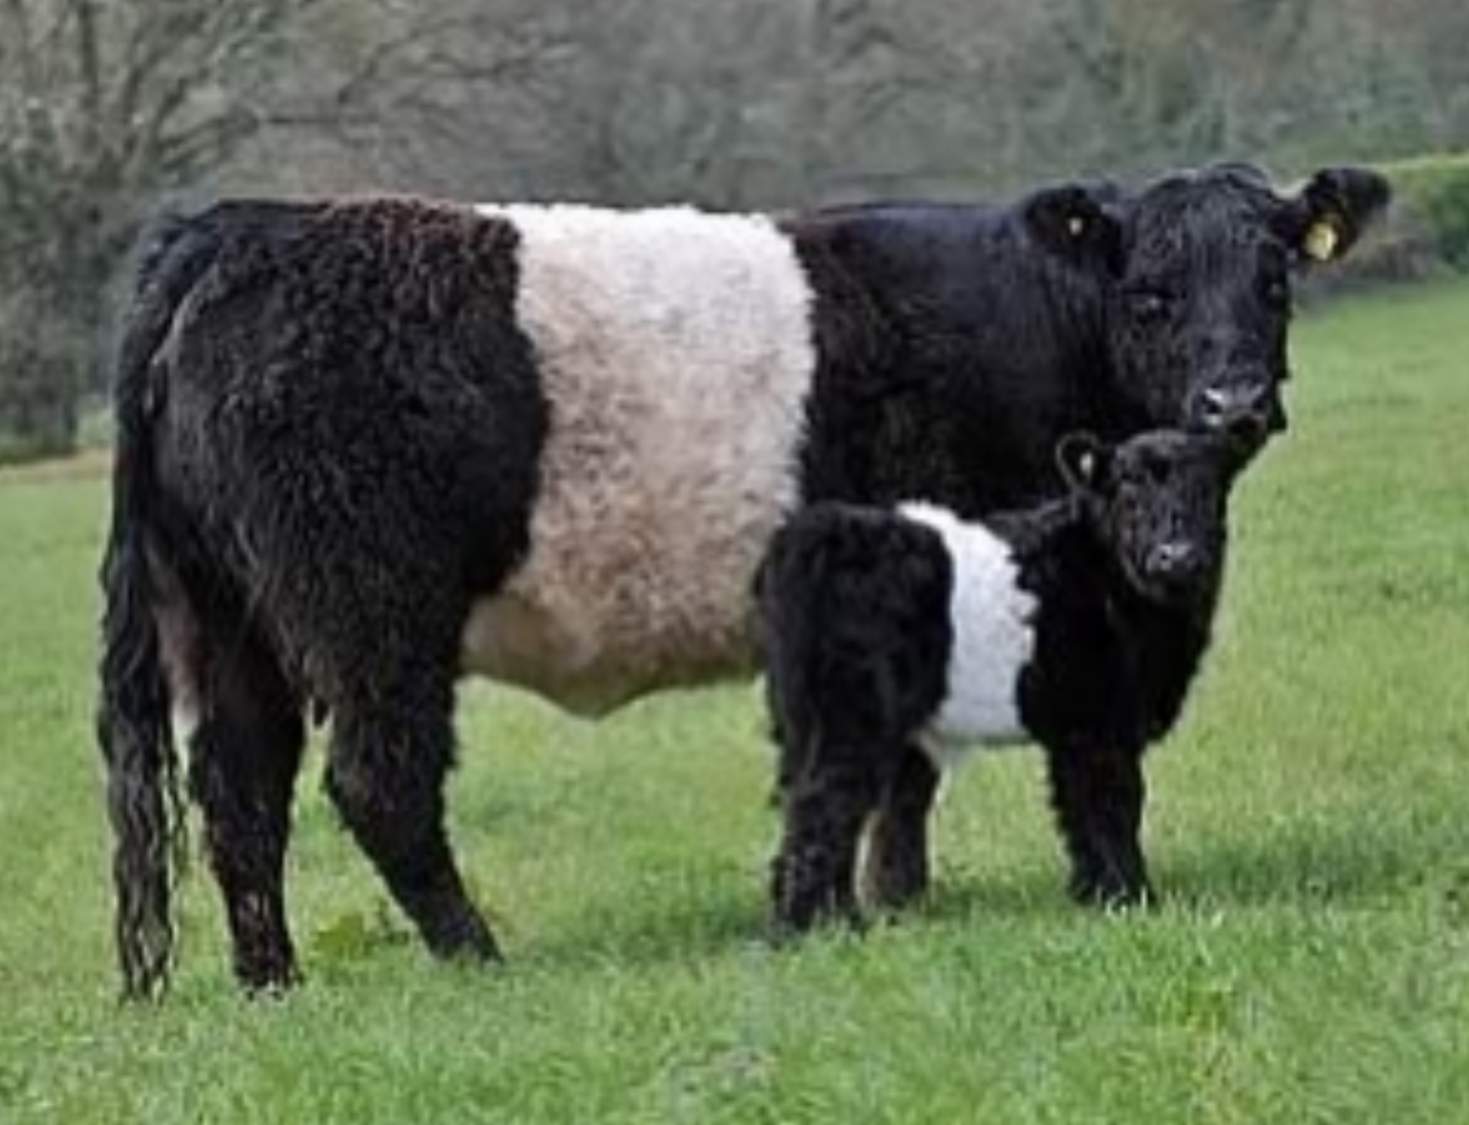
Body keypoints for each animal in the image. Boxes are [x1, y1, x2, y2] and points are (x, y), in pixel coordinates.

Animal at [757, 429, 1247, 931]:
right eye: (1128, 490)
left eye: (1208, 488)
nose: (1177, 556)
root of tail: (817, 533)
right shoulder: (1095, 724)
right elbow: (1111, 806)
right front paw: (1130, 899)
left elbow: (1082, 813)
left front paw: (1094, 895)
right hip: (854, 718)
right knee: (823, 805)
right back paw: (811, 926)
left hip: (808, 724)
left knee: (809, 806)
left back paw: (838, 918)